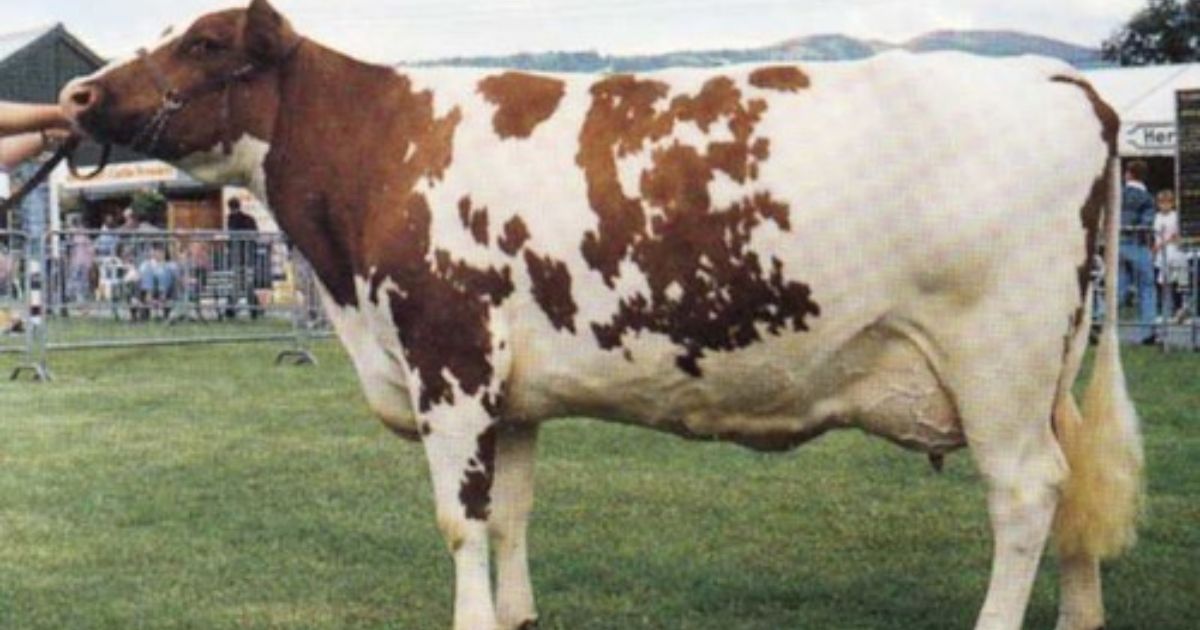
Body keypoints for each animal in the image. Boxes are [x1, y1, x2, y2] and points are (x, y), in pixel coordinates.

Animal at [59, 2, 1143, 629]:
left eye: (203, 42)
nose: (77, 92)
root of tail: (1061, 80)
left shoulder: (448, 359)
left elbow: (460, 521)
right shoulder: (510, 393)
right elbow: (510, 516)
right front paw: (516, 617)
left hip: (996, 358)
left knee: (1026, 496)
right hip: (1043, 369)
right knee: (1070, 489)